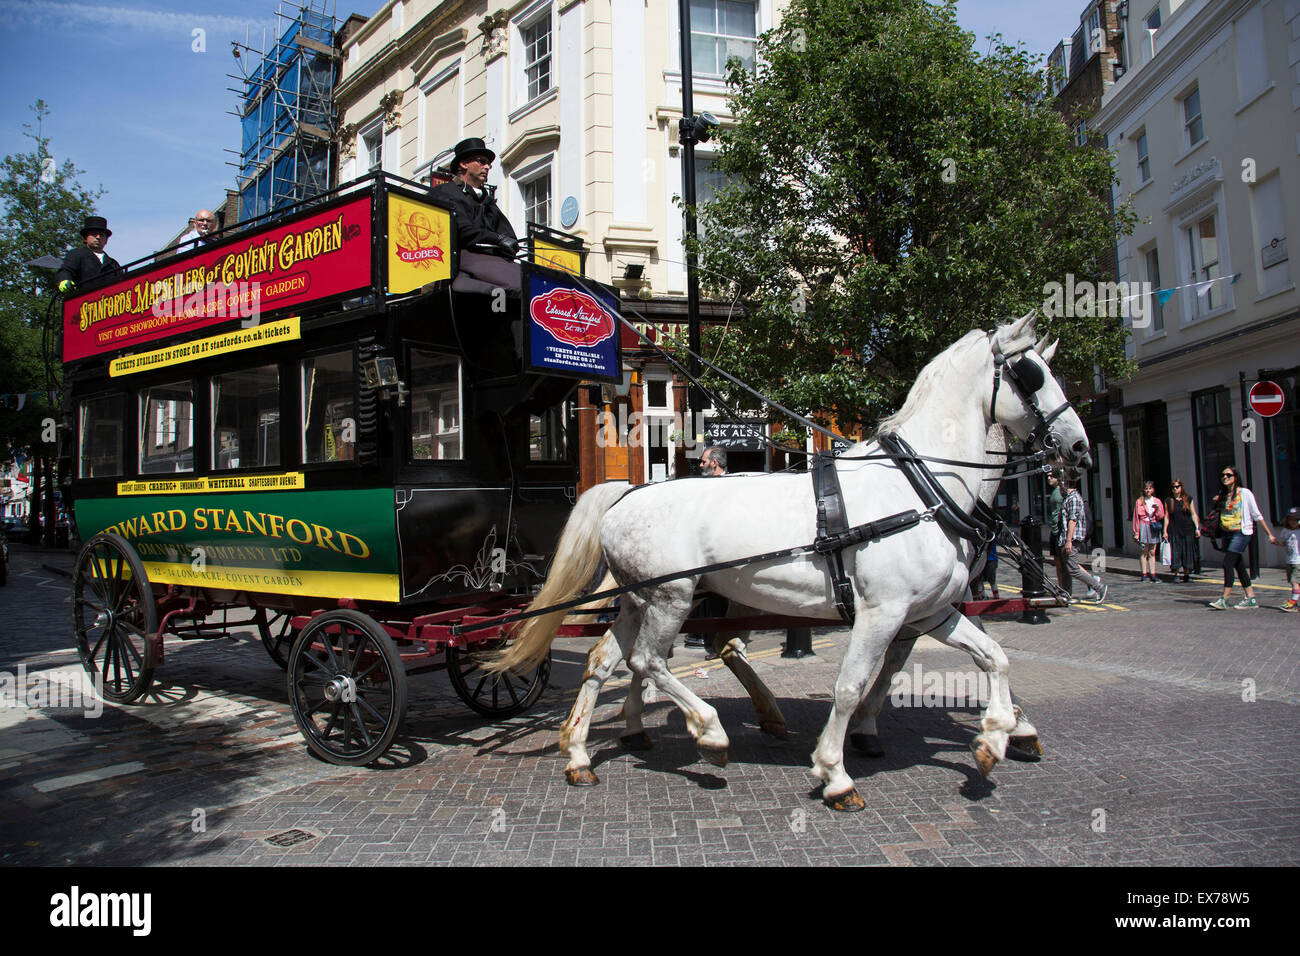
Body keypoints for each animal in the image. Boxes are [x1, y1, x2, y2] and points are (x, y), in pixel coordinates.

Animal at [490, 312, 1087, 810]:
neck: (919, 488)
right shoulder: (883, 612)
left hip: (641, 599)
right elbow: (852, 685)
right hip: (672, 597)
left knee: (605, 661)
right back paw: (710, 733)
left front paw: (996, 735)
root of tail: (627, 495)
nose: (1079, 447)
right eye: (1031, 374)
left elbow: (993, 658)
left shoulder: (930, 611)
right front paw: (835, 773)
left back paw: (581, 753)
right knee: (649, 662)